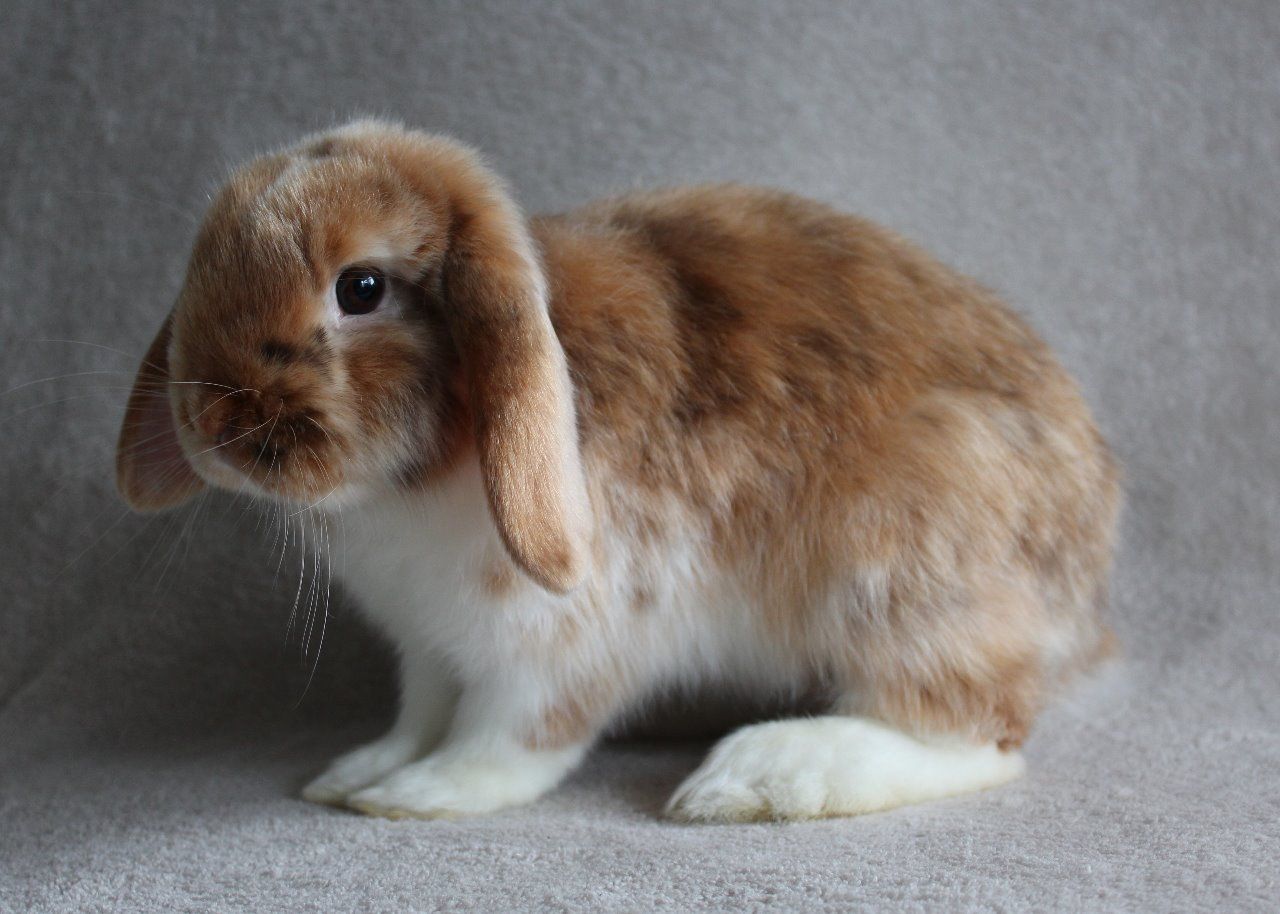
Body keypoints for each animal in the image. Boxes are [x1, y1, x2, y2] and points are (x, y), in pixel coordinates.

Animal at [115, 119, 1121, 822]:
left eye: (359, 288)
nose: (209, 424)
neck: (427, 470)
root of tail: (1083, 590)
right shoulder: (429, 646)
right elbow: (422, 712)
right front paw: (360, 772)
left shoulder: (560, 641)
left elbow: (510, 736)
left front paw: (422, 795)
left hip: (899, 573)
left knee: (979, 732)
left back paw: (761, 776)